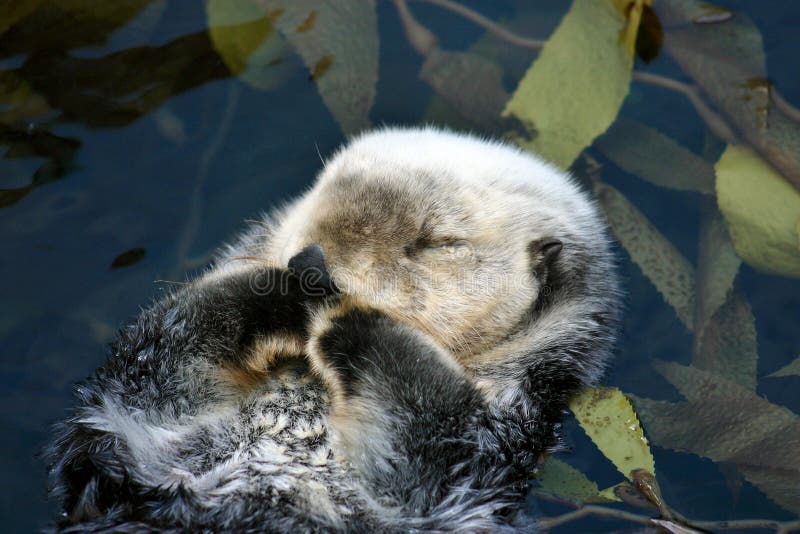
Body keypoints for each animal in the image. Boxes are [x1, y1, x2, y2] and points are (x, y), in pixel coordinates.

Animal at [46, 127, 620, 532]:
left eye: (439, 242)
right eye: (320, 194)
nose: (312, 264)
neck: (306, 399)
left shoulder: (484, 452)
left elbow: (427, 442)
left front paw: (352, 322)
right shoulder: (131, 446)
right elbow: (154, 367)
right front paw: (278, 293)